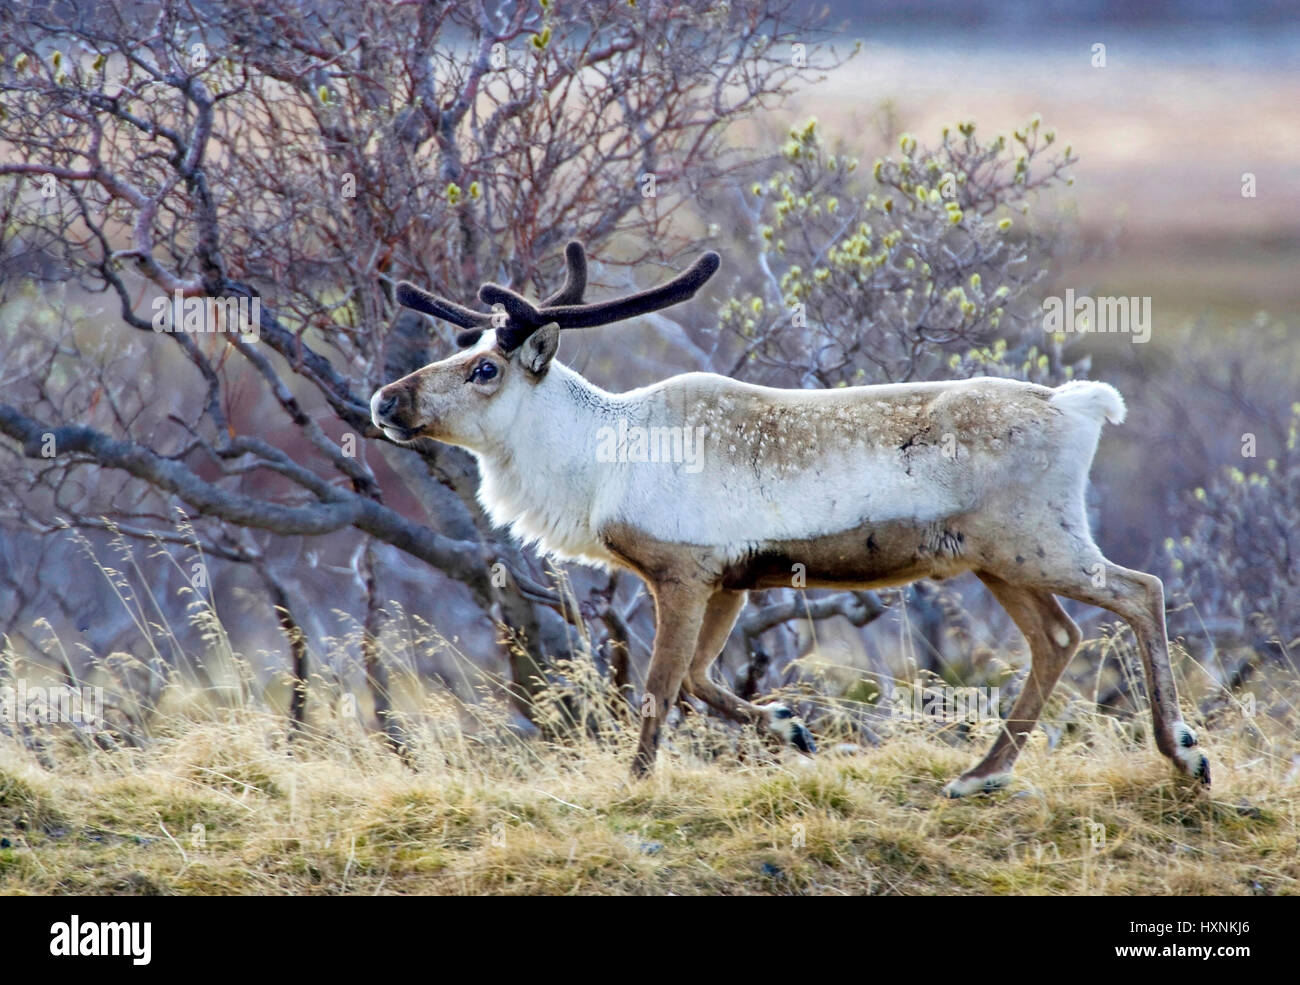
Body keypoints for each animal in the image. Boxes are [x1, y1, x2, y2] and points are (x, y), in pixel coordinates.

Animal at [371, 241, 1211, 796]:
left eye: (484, 367)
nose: (384, 400)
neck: (599, 457)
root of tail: (1080, 405)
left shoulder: (681, 572)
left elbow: (658, 687)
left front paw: (634, 783)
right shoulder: (729, 580)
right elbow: (697, 681)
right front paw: (790, 726)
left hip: (1040, 542)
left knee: (1140, 590)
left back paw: (1185, 753)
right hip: (995, 558)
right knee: (1059, 638)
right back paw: (981, 773)